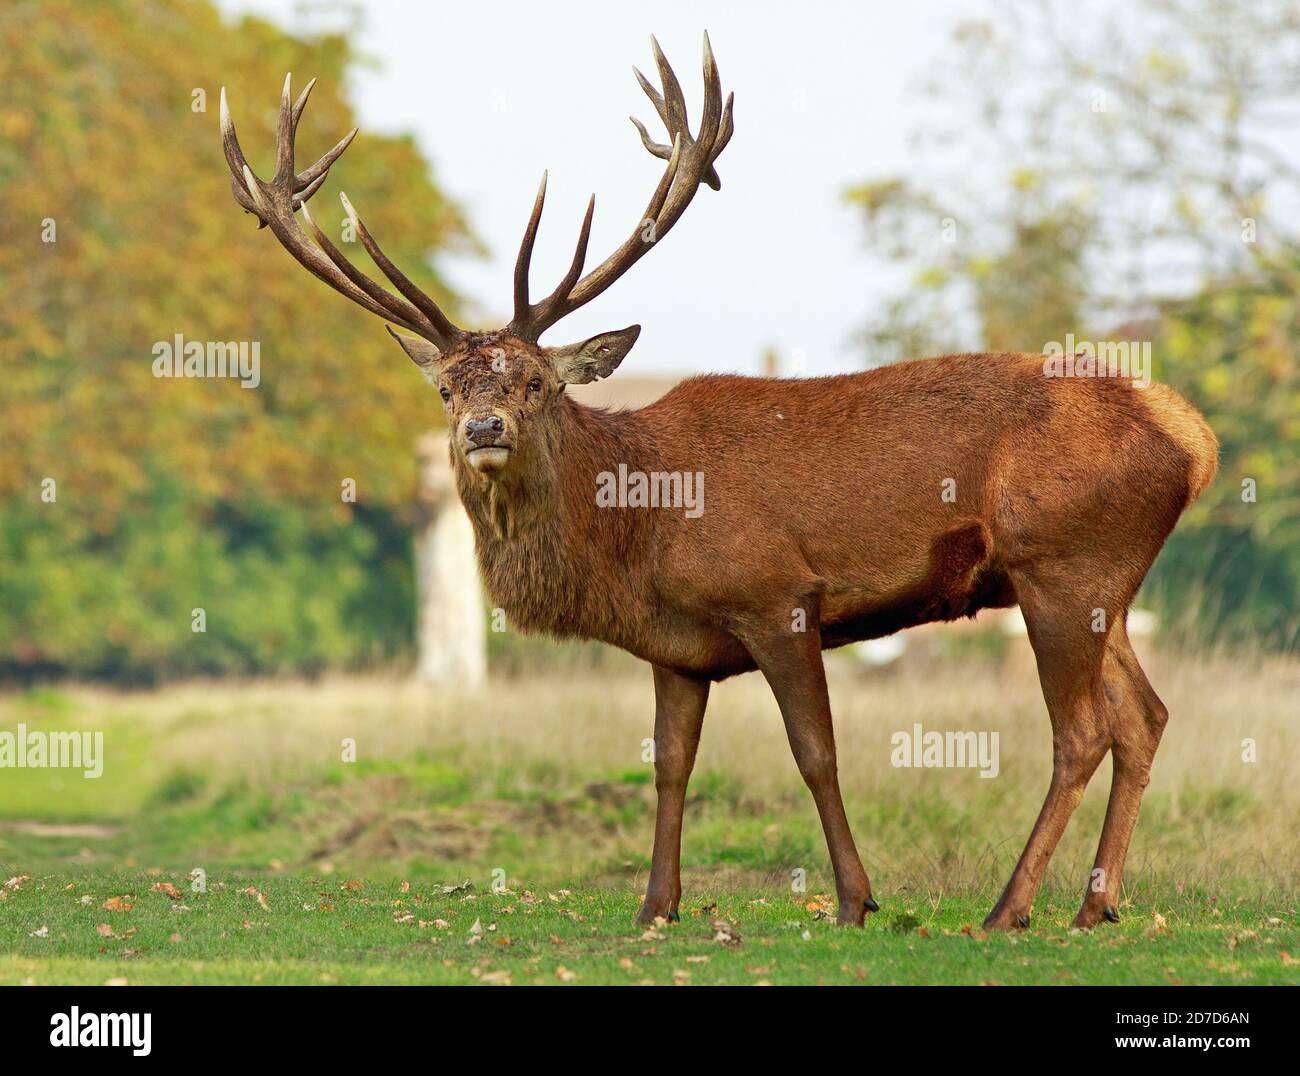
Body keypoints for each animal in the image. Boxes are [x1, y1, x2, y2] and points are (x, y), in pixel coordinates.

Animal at [219, 34, 1218, 931]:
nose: (484, 429)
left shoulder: (778, 594)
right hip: (1095, 585)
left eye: (536, 381)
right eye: (447, 388)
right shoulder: (677, 648)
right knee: (1146, 717)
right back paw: (1095, 908)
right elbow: (669, 766)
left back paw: (1009, 910)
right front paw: (655, 905)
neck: (639, 530)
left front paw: (855, 900)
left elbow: (816, 752)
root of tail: (1193, 436)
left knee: (1082, 733)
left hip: (1062, 566)